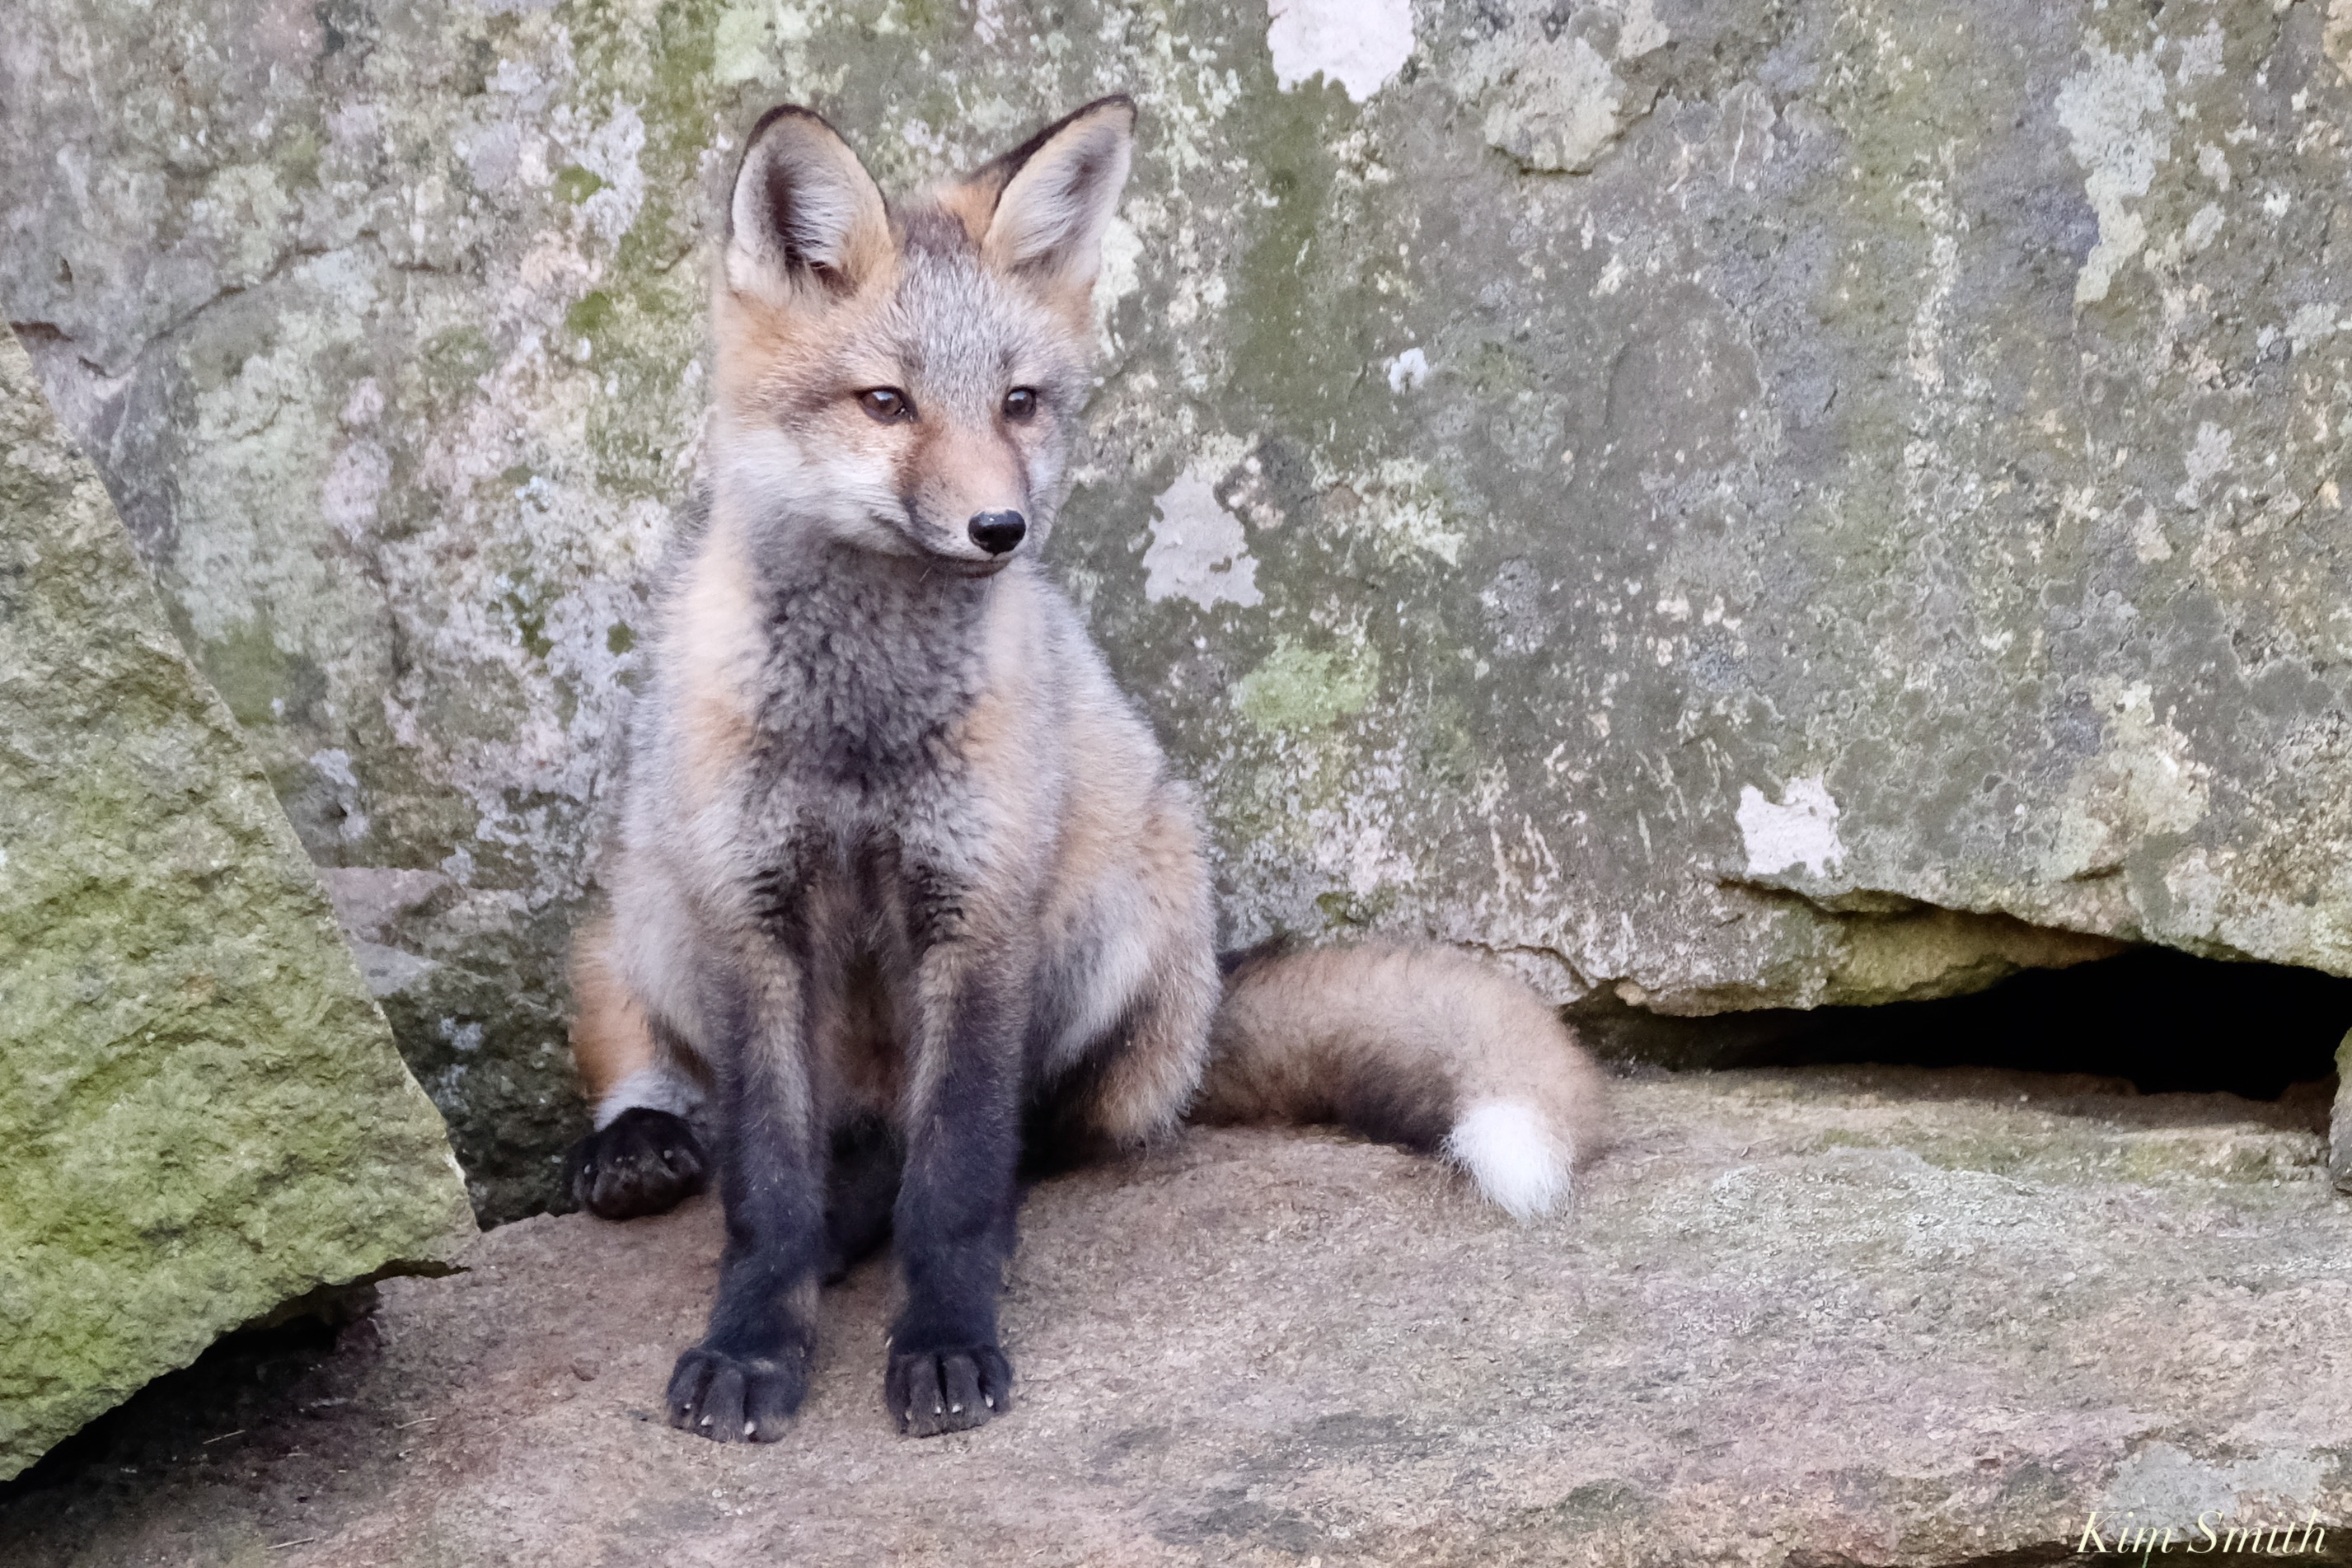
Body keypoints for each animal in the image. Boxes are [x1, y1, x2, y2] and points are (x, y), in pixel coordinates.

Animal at [560, 95, 1605, 1444]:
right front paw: (751, 1342)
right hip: (651, 902)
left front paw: (944, 1341)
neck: (862, 727)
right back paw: (639, 1143)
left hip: (1116, 915)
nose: (1000, 529)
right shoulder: (752, 921)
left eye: (1019, 402)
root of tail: (1207, 1006)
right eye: (885, 402)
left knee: (1017, 1140)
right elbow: (766, 1184)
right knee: (661, 1052)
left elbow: (957, 1175)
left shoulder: (981, 914)